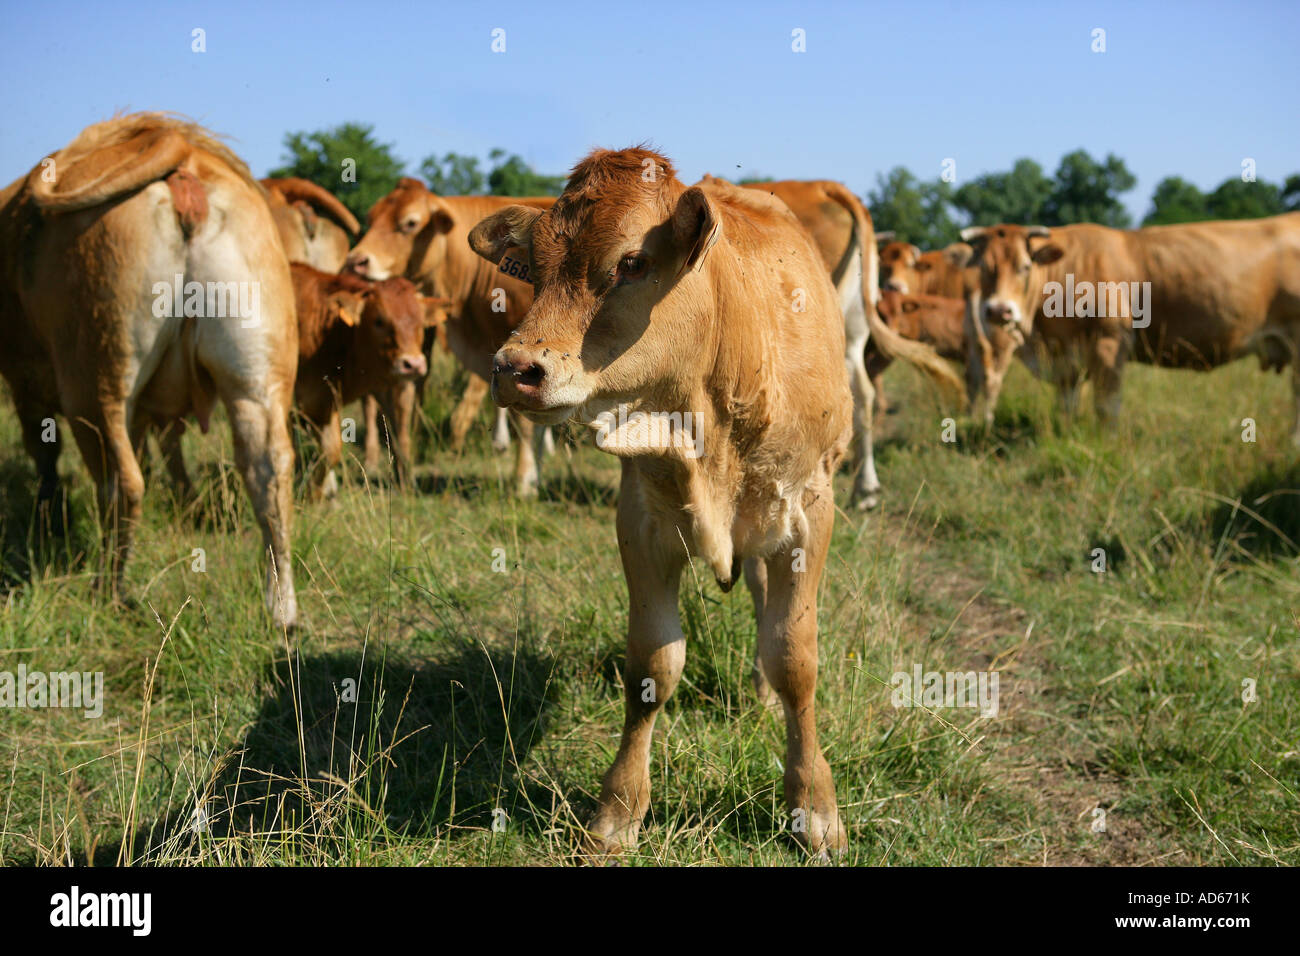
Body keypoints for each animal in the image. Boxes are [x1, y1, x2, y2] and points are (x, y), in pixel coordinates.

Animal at [0, 113, 298, 626]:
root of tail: (181, 158)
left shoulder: (26, 384)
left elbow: (45, 458)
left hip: (94, 378)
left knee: (122, 483)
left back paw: (108, 591)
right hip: (255, 377)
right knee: (270, 470)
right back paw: (282, 608)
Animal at [343, 178, 556, 494]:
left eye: (410, 223)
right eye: (372, 217)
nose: (355, 261)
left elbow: (528, 424)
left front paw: (523, 483)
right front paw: (533, 477)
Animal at [469, 147, 853, 857]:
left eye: (631, 262)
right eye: (535, 264)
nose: (514, 369)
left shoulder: (808, 515)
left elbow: (794, 658)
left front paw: (815, 809)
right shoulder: (641, 523)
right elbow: (652, 665)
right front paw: (619, 812)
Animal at [960, 216, 1300, 435]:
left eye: (1025, 266)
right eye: (983, 267)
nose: (999, 311)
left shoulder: (1109, 343)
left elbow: (1106, 405)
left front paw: (1106, 444)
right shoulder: (1066, 358)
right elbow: (1067, 405)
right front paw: (1066, 436)